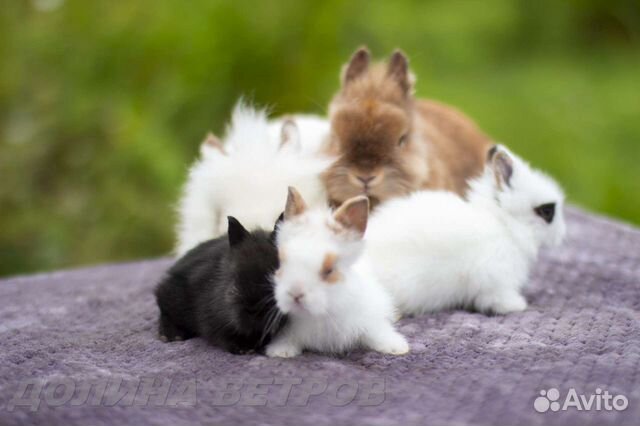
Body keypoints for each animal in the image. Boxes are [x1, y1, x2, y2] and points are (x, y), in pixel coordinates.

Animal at [265, 187, 409, 358]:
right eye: (280, 263)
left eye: (329, 270)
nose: (295, 294)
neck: (321, 314)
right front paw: (281, 351)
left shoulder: (369, 318)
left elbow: (377, 331)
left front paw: (397, 348)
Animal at [364, 145, 566, 316]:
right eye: (547, 211)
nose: (562, 234)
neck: (505, 225)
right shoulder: (496, 281)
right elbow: (497, 299)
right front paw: (517, 305)